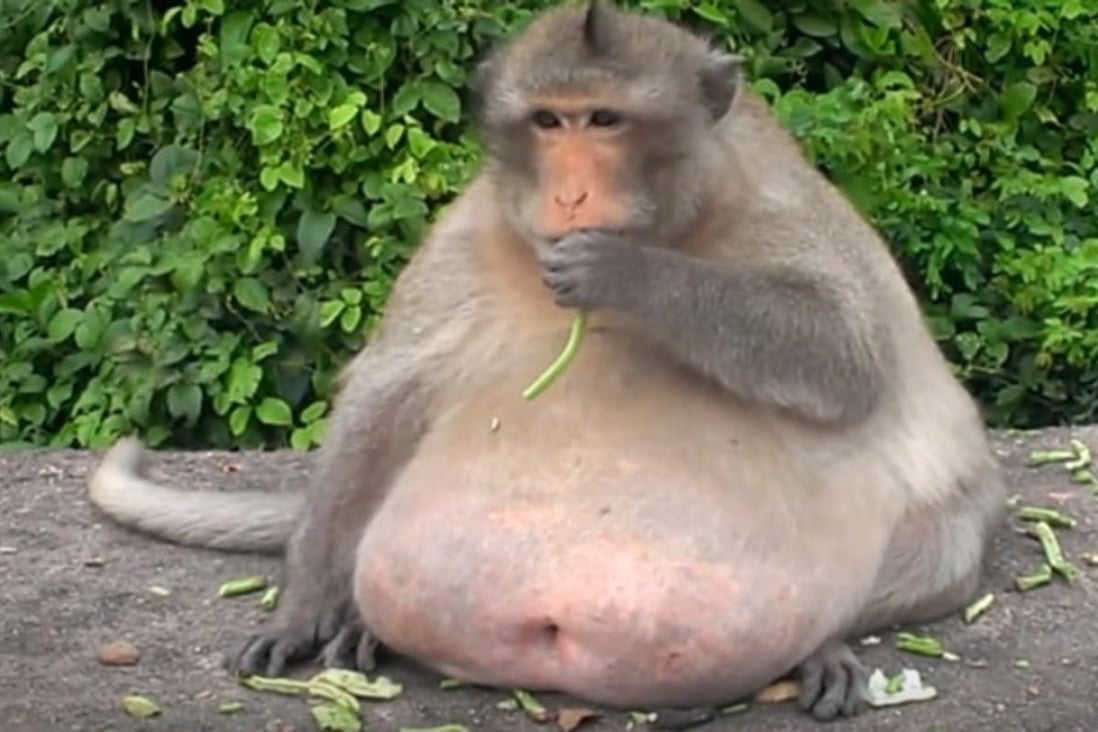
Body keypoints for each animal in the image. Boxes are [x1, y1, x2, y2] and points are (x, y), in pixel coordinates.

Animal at [86, 0, 1006, 722]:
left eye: (604, 120)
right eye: (547, 121)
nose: (568, 193)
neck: (675, 218)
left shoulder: (775, 201)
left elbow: (844, 353)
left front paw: (625, 273)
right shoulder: (473, 231)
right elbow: (383, 395)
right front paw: (306, 603)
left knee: (946, 539)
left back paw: (818, 647)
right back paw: (364, 623)